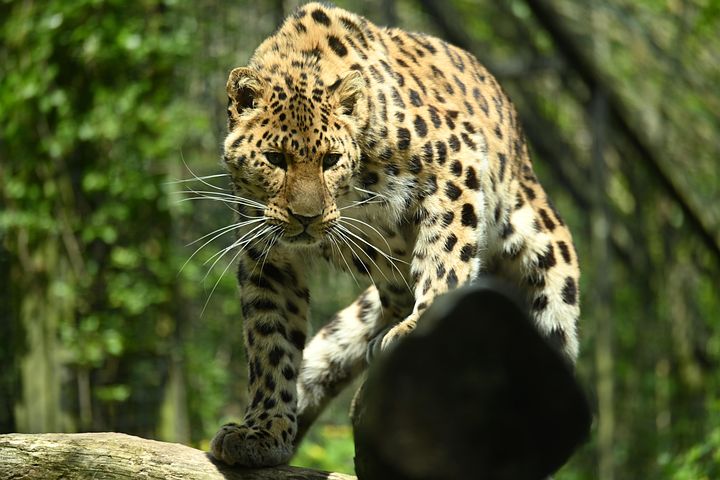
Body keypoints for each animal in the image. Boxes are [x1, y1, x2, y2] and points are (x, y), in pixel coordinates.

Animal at [209, 2, 580, 467]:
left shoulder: (457, 164)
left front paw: (421, 325)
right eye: (275, 159)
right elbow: (270, 346)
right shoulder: (268, 255)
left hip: (548, 266)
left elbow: (447, 257)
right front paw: (263, 431)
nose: (307, 218)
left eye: (330, 160)